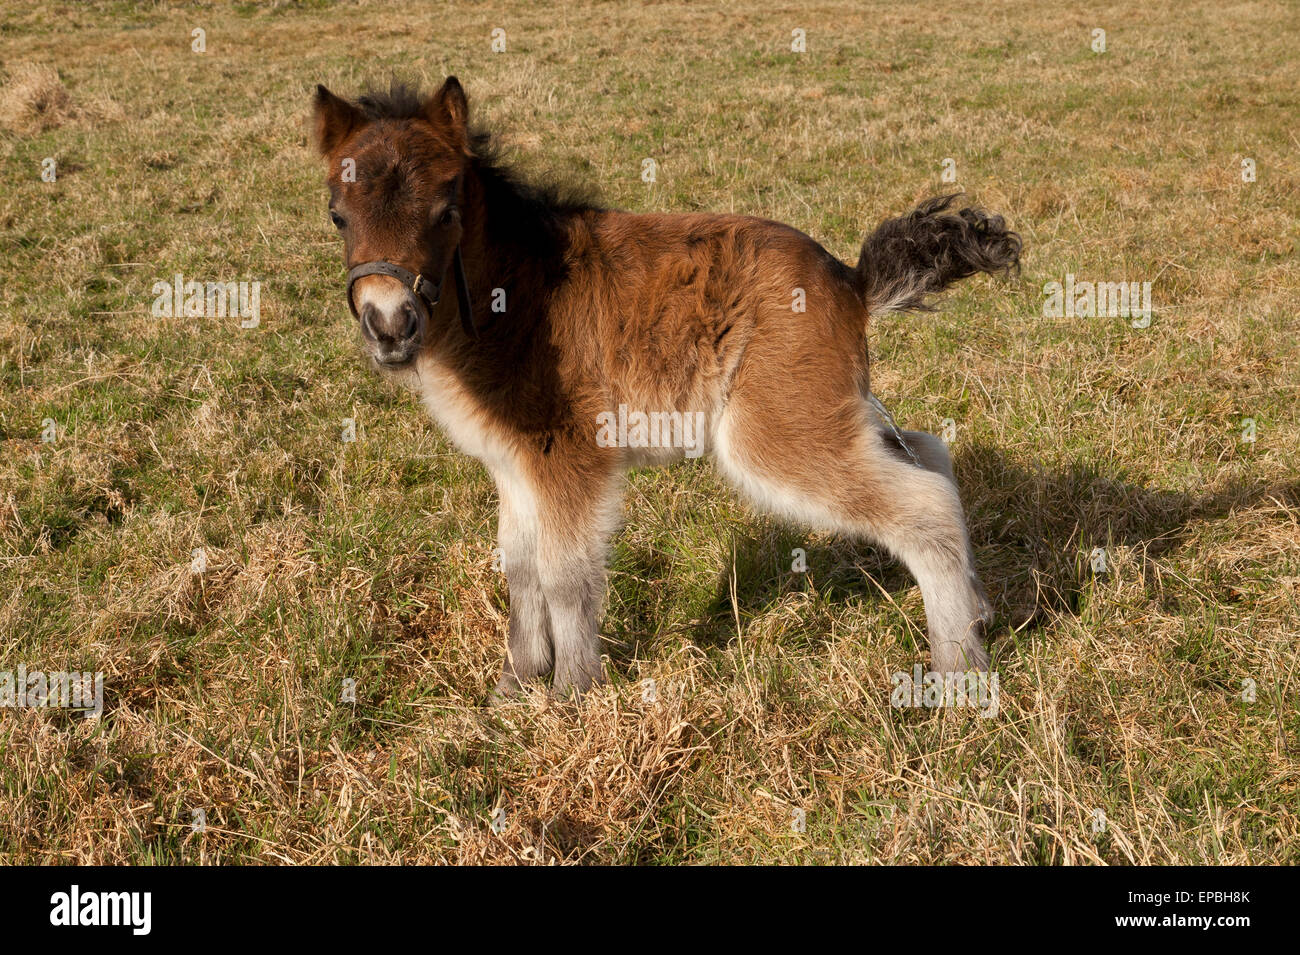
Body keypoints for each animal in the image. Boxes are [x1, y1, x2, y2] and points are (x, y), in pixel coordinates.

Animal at [310, 76, 1021, 699]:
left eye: (447, 210)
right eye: (338, 216)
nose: (389, 325)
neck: (519, 293)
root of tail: (851, 282)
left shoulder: (571, 457)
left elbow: (565, 574)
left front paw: (574, 694)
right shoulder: (513, 461)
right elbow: (520, 568)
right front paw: (516, 686)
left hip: (779, 435)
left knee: (922, 502)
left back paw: (959, 669)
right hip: (829, 408)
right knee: (929, 453)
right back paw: (980, 614)